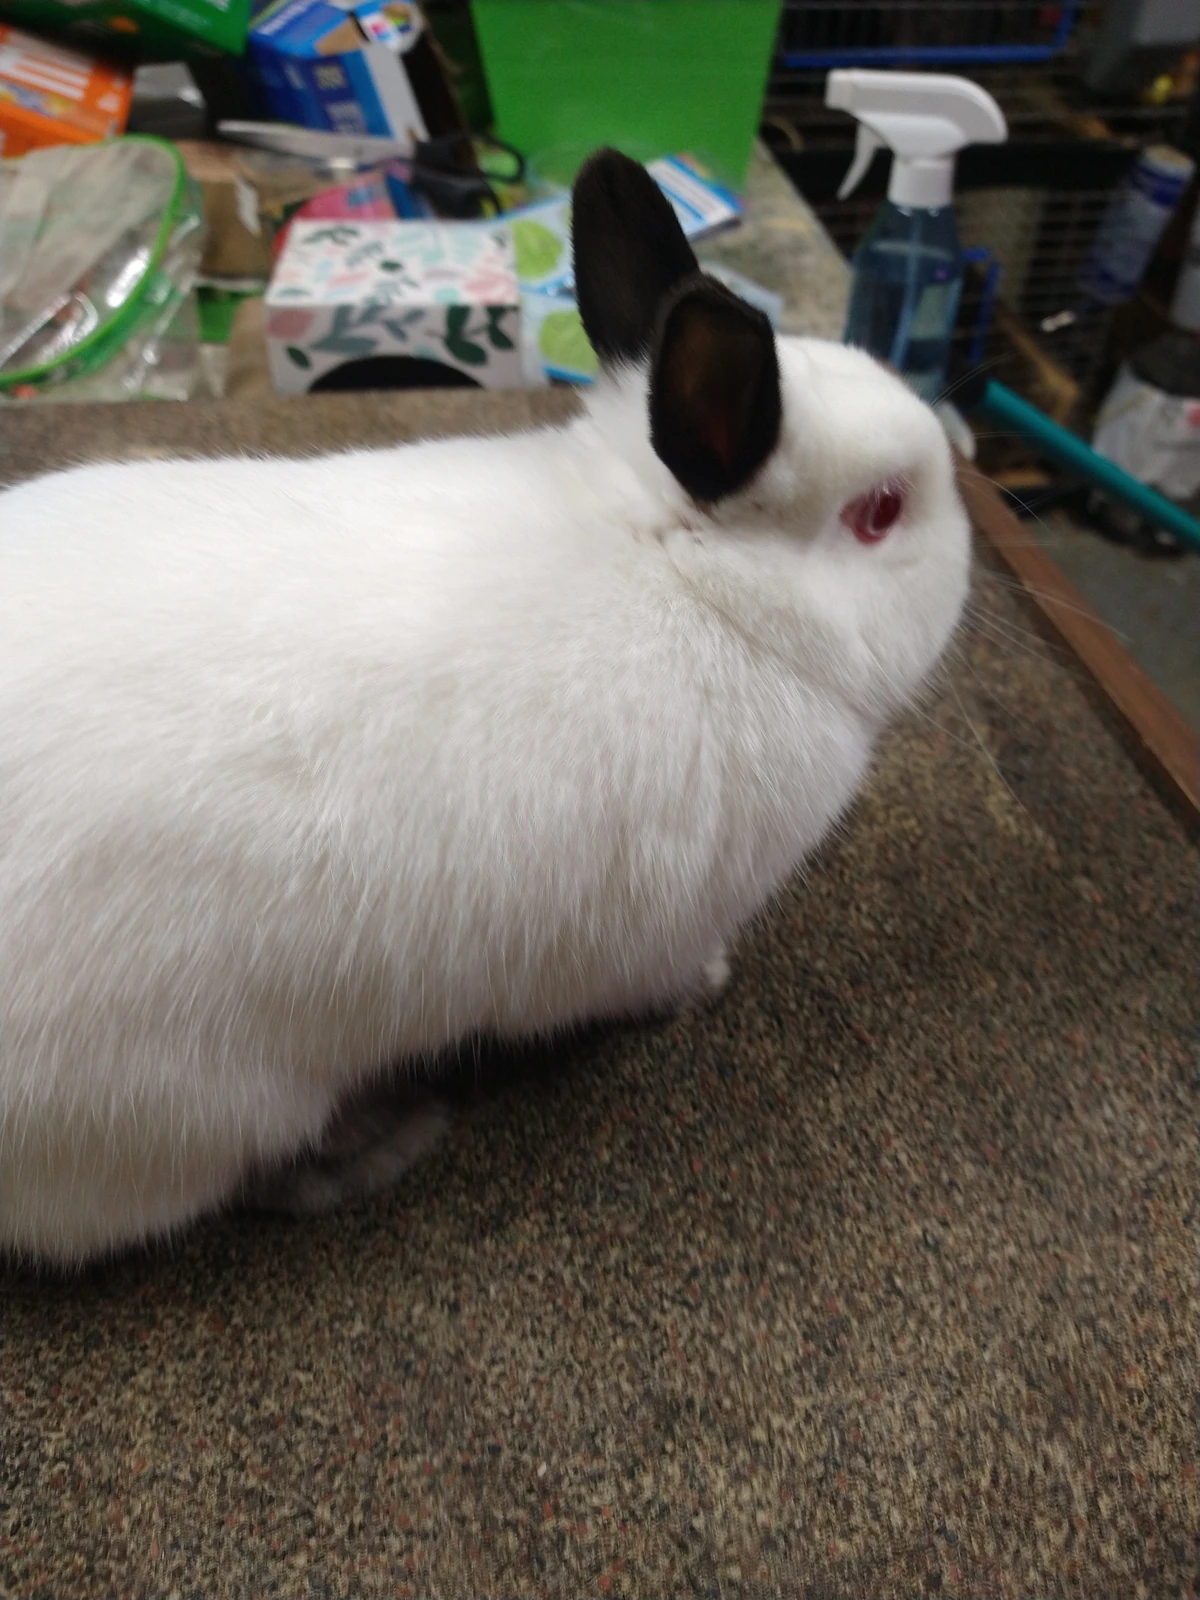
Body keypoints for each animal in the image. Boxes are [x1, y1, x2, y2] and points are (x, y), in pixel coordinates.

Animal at [0, 149, 971, 1266]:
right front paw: (709, 983)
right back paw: (387, 1135)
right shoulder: (653, 922)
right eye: (882, 512)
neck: (695, 576)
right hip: (184, 1108)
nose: (970, 542)